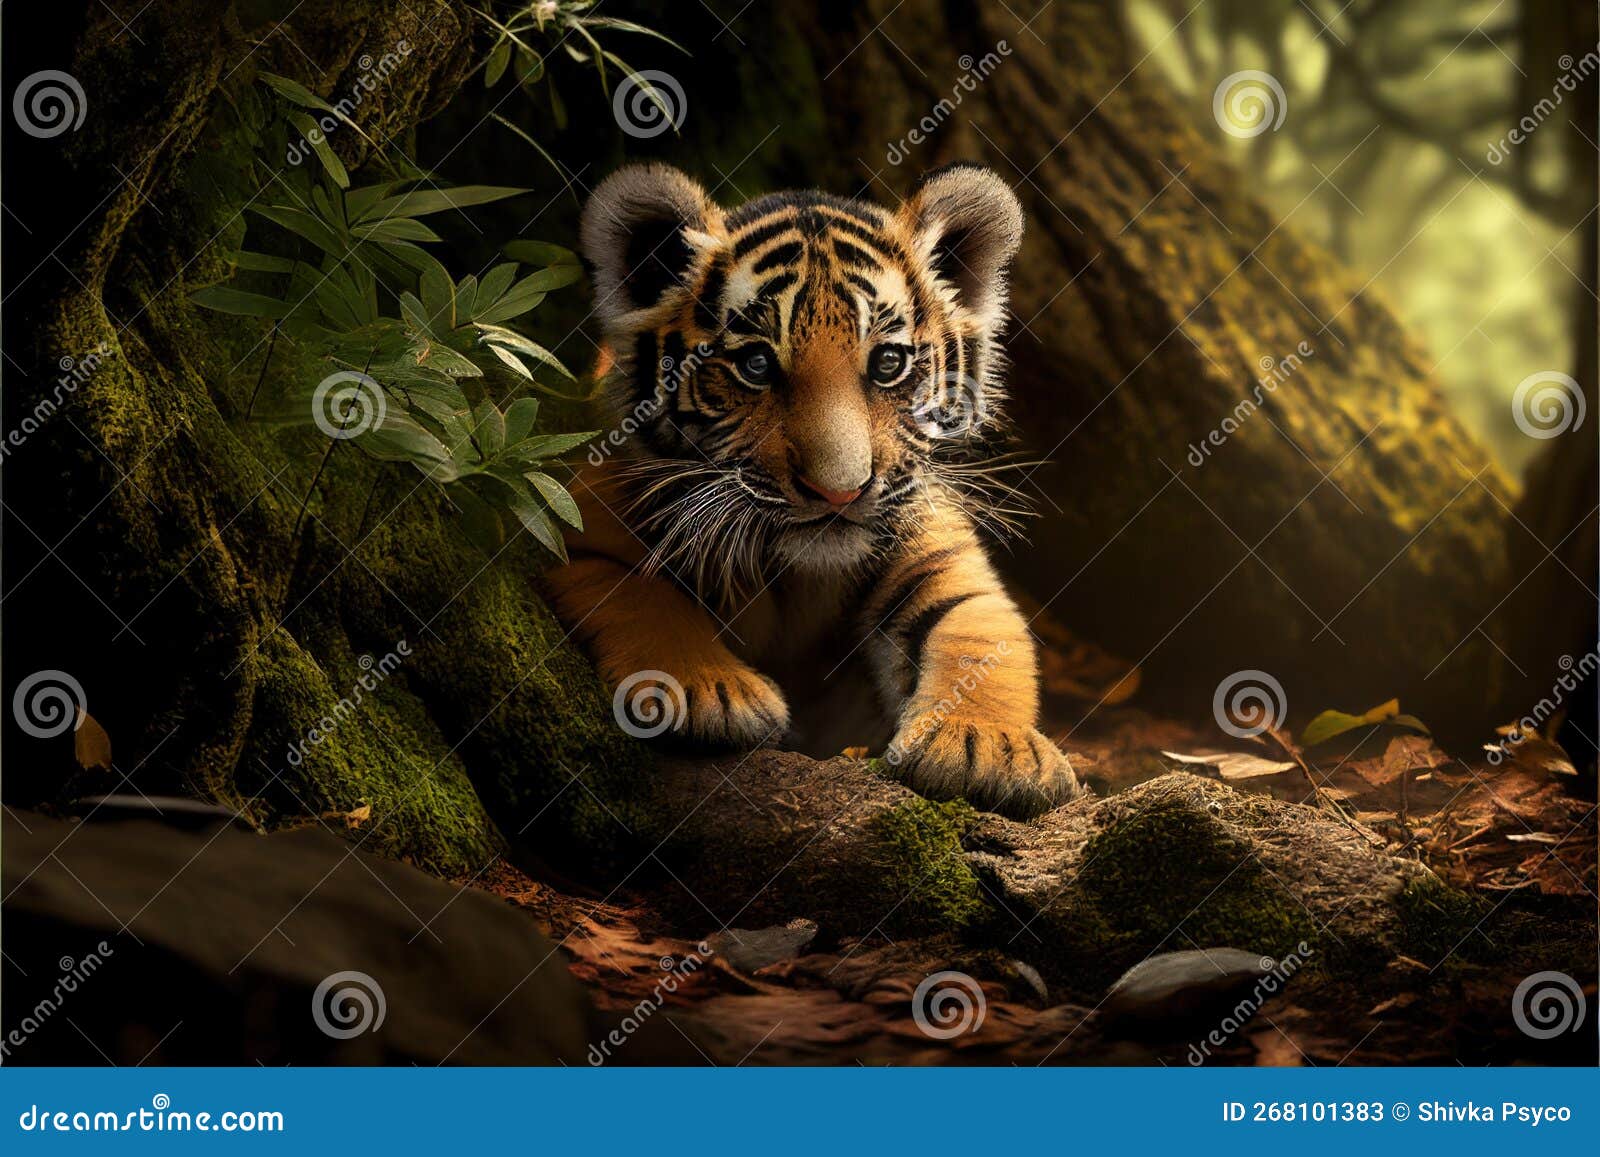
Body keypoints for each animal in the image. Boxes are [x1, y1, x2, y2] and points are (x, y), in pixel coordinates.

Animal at [542, 161, 1081, 818]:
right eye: (755, 366)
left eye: (888, 363)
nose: (839, 492)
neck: (794, 575)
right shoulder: (577, 531)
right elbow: (644, 598)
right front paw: (705, 690)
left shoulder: (936, 549)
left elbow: (976, 634)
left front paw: (987, 745)